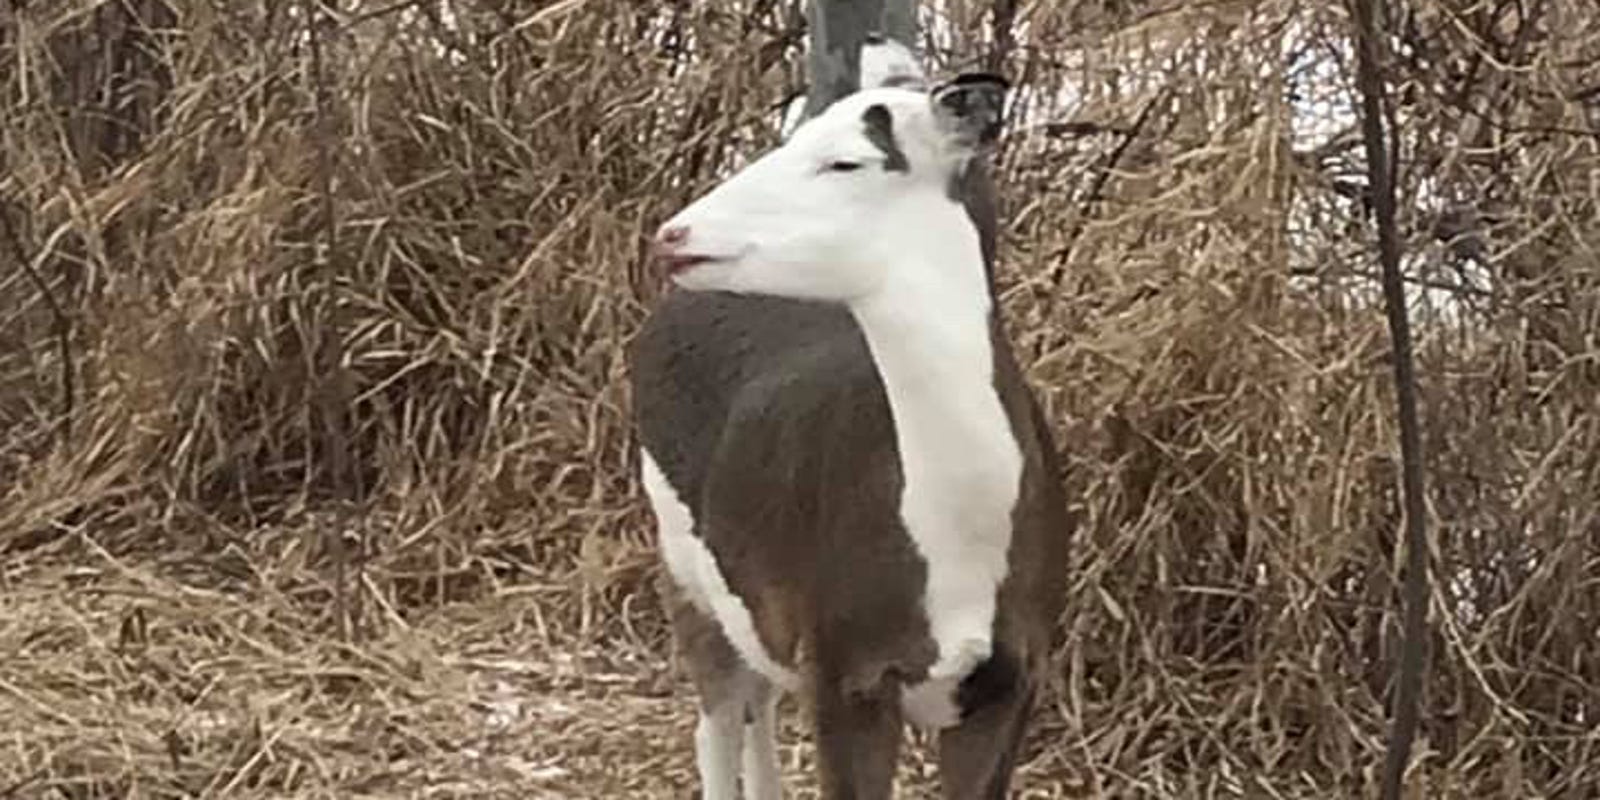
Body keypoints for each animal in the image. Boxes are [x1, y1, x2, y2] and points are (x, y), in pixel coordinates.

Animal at [630, 65, 1072, 800]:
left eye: (847, 161)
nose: (675, 234)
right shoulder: (843, 665)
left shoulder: (1015, 677)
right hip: (680, 556)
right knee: (717, 719)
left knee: (758, 697)